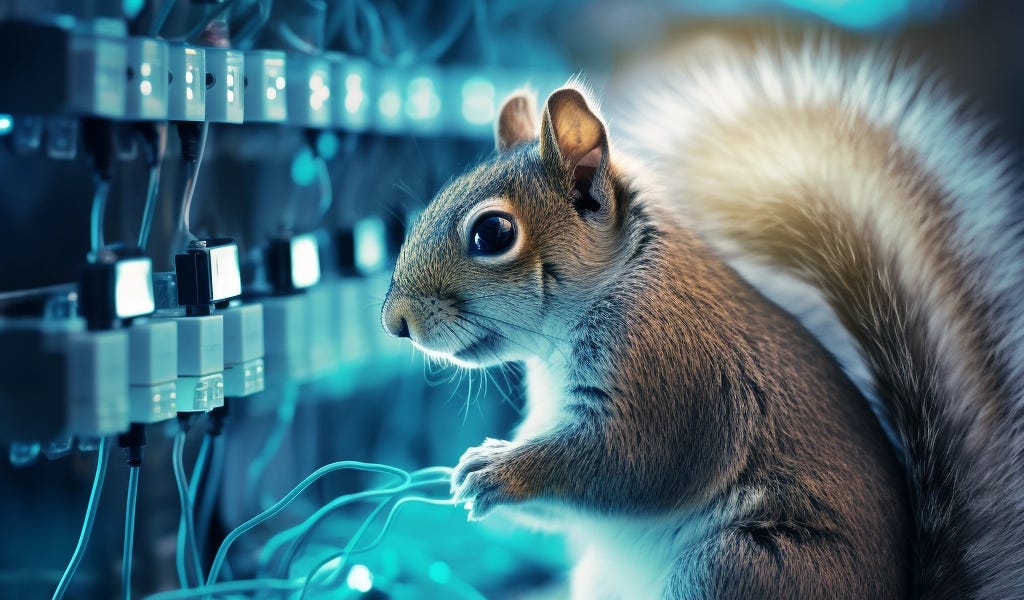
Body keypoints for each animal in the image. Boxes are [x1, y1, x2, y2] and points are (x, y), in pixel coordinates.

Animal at [381, 38, 1024, 599]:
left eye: (493, 233)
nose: (394, 322)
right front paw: (456, 474)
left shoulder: (671, 376)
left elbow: (625, 464)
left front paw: (497, 471)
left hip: (735, 566)